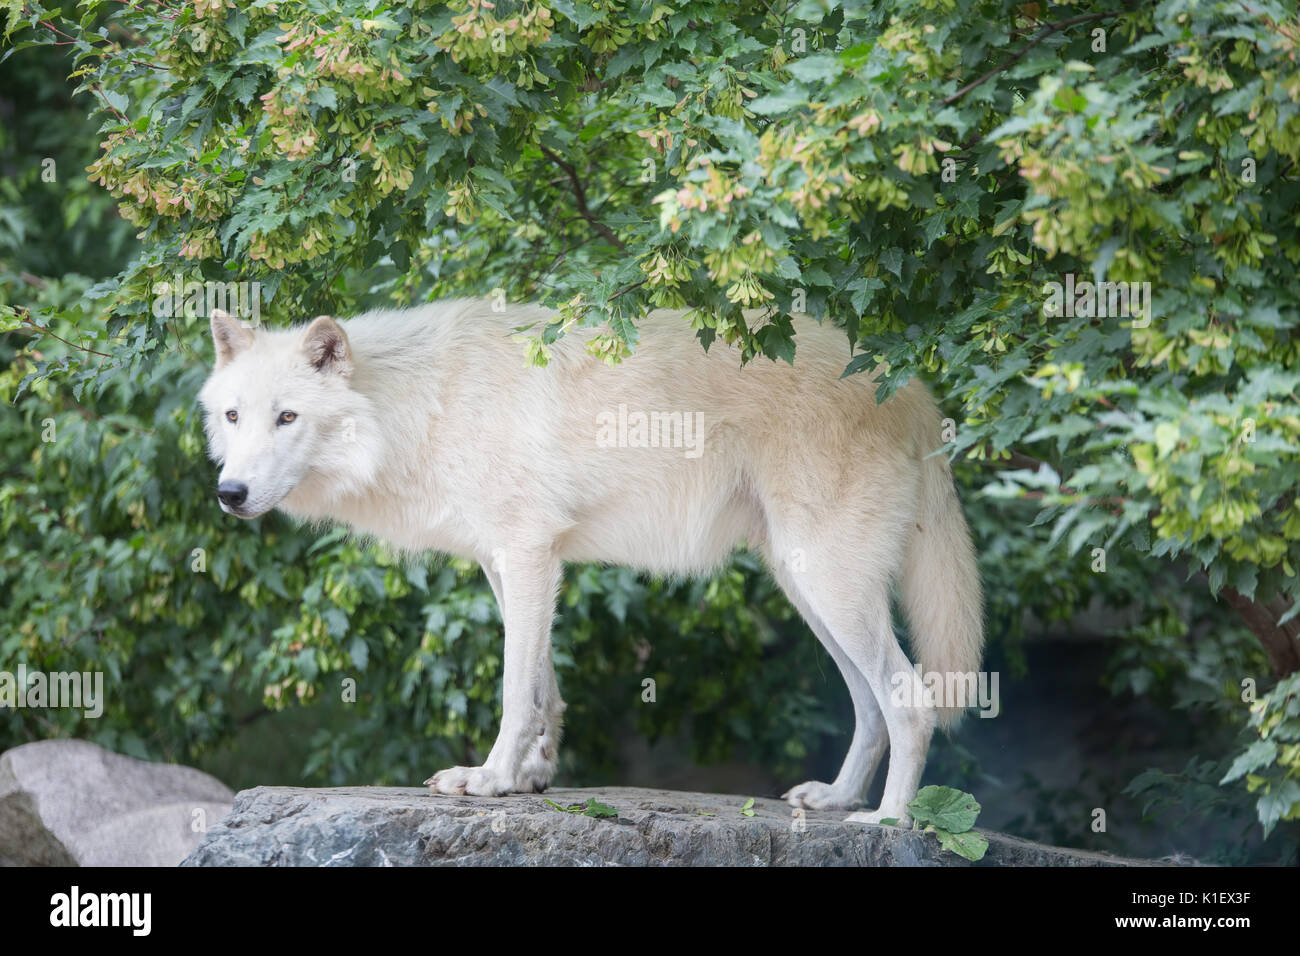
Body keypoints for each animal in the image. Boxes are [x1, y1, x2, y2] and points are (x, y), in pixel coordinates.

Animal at [198, 299, 983, 824]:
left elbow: (515, 690)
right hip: (806, 586)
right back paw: (837, 798)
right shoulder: (512, 563)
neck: (421, 405)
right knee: (870, 704)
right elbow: (545, 688)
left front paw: (488, 780)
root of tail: (912, 387)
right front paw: (532, 777)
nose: (229, 494)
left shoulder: (527, 554)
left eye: (288, 417)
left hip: (828, 583)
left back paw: (887, 822)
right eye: (234, 416)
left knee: (910, 701)